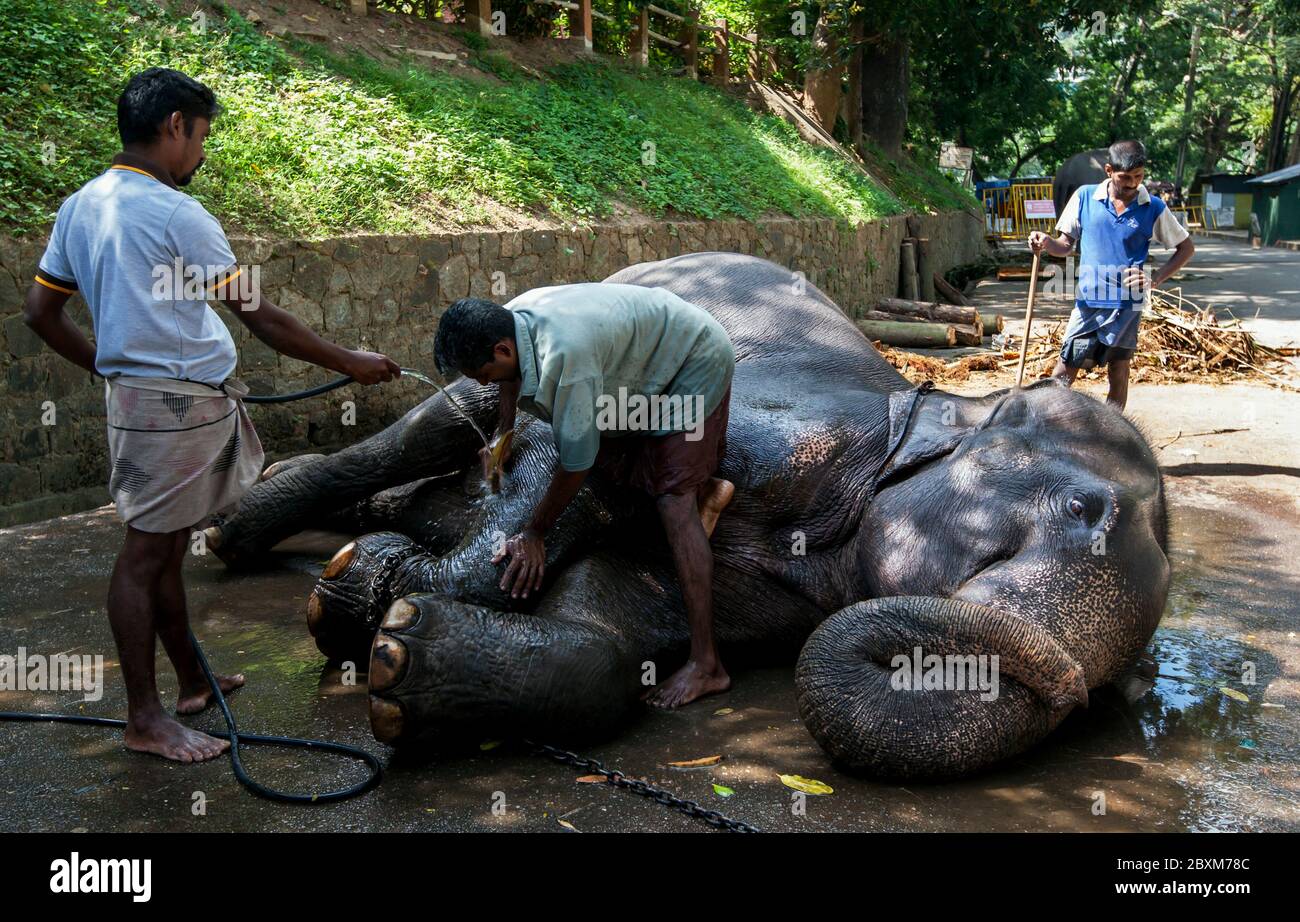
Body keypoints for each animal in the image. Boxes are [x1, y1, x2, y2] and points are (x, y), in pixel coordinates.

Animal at [204, 252, 1171, 779]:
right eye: (1082, 508)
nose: (1079, 694)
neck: (931, 411)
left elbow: (614, 618)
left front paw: (398, 646)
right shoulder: (791, 429)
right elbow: (579, 467)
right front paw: (373, 587)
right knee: (432, 427)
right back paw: (254, 534)